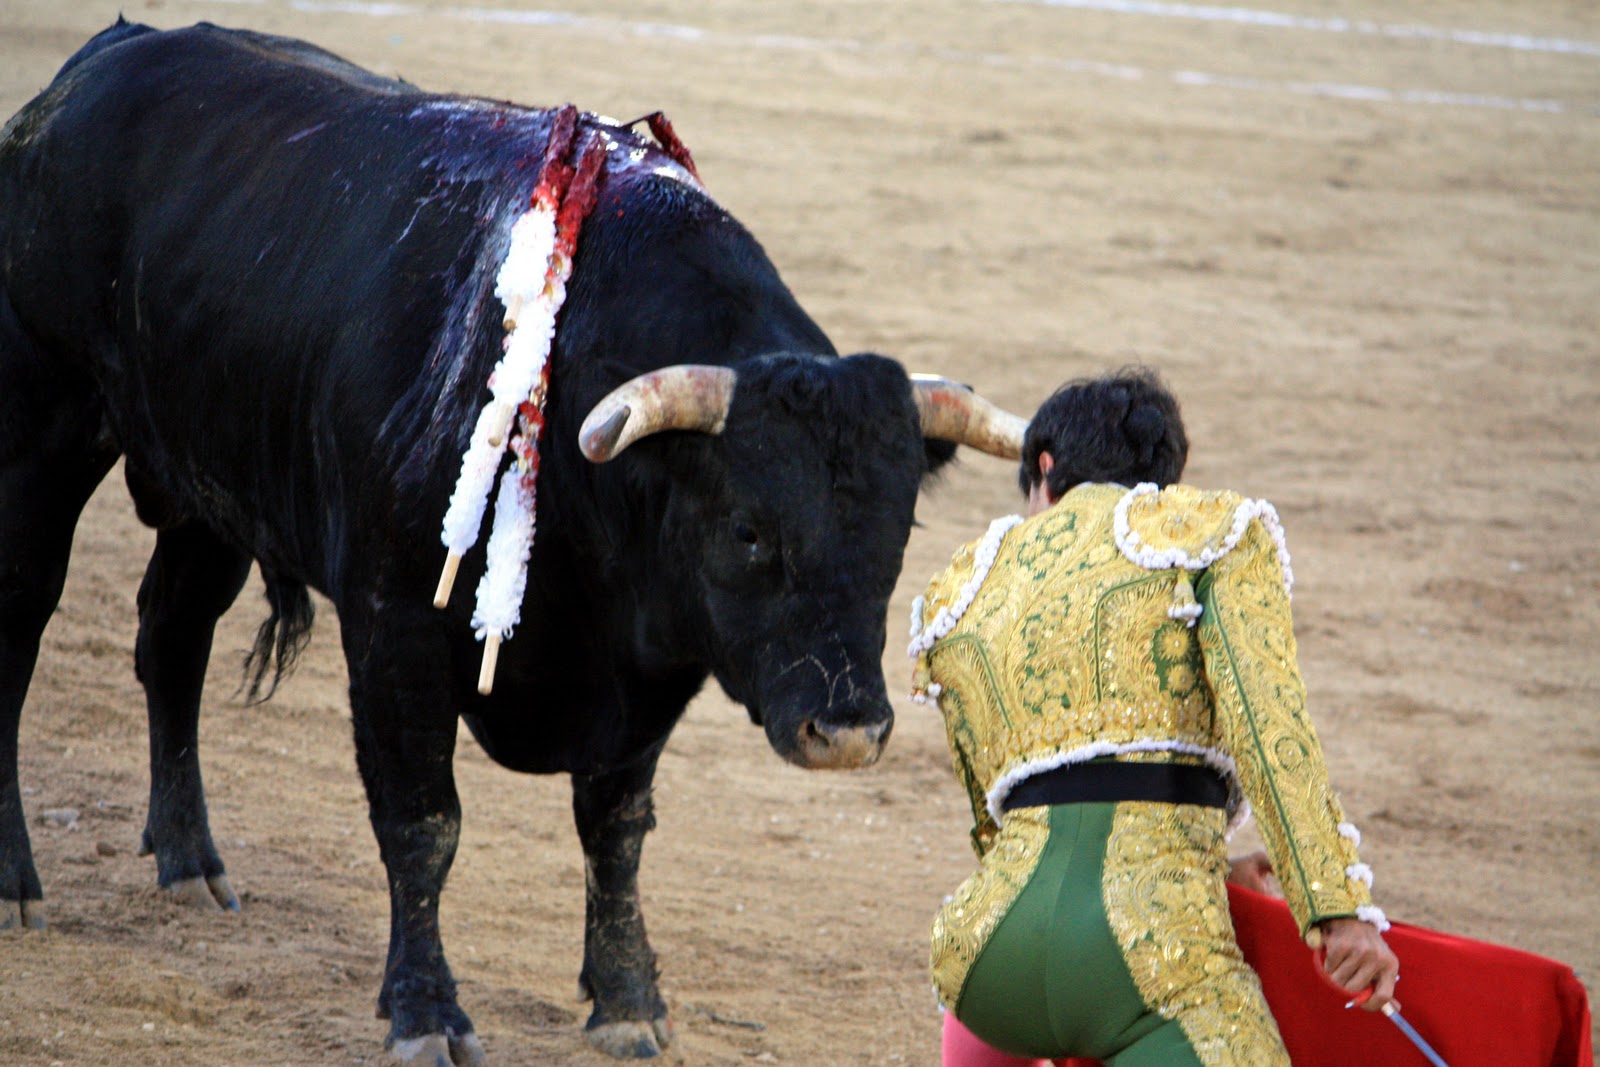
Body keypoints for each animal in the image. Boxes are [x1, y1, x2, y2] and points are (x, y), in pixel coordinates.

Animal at [0, 18, 1027, 1066]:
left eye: (899, 529)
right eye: (748, 529)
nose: (847, 730)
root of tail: (94, 67)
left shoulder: (650, 668)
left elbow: (616, 825)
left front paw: (627, 998)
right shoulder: (395, 625)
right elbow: (424, 821)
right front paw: (426, 1012)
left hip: (209, 491)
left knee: (173, 638)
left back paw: (190, 861)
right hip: (39, 427)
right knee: (20, 630)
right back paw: (17, 882)